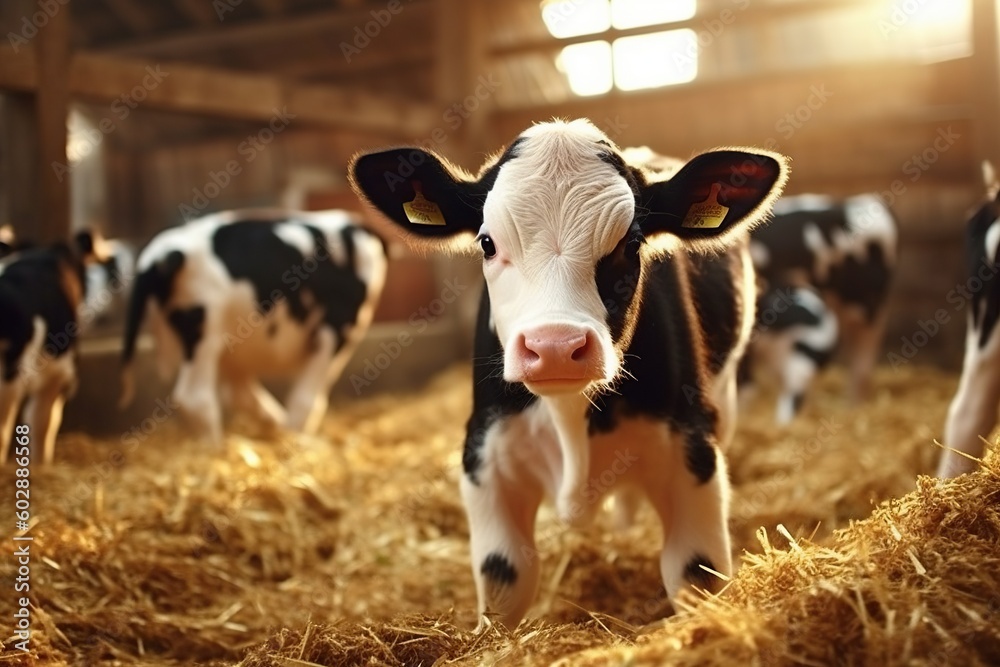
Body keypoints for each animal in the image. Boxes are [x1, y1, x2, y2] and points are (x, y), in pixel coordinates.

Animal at [118, 208, 387, 443]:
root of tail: (164, 253)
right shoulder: (338, 325)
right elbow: (307, 398)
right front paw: (299, 442)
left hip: (225, 339)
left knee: (237, 394)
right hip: (204, 330)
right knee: (196, 397)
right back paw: (214, 449)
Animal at [349, 118, 789, 627]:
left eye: (631, 245)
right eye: (487, 243)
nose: (555, 347)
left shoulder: (694, 453)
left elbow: (697, 576)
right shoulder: (484, 457)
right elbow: (505, 584)